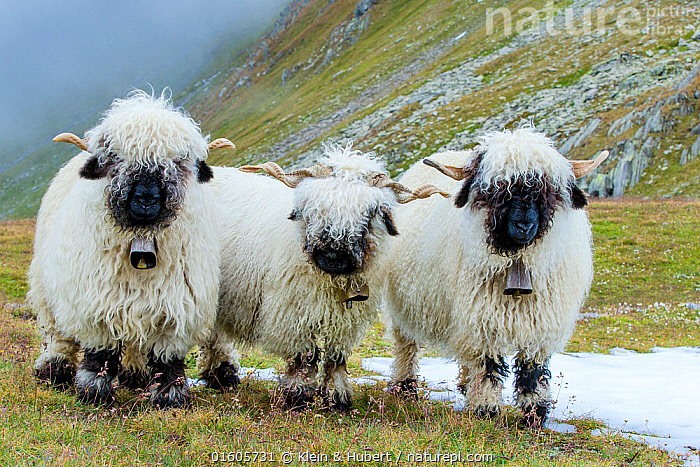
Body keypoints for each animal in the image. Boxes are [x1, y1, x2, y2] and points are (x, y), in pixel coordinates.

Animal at [29, 90, 235, 408]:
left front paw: (170, 398)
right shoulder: (97, 304)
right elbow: (99, 355)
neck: (141, 238)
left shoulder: (176, 306)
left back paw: (134, 374)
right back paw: (54, 370)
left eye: (179, 162)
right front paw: (94, 393)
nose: (146, 200)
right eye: (115, 158)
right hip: (46, 286)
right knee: (56, 334)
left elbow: (167, 359)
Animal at [196, 145, 447, 411]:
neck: (331, 281)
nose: (333, 256)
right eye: (313, 208)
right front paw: (298, 395)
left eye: (369, 214)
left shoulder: (345, 320)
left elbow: (336, 357)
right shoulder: (293, 314)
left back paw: (221, 375)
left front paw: (337, 397)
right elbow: (305, 356)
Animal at [383, 127, 608, 425]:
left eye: (546, 190)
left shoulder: (541, 321)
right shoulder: (483, 319)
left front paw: (533, 414)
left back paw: (465, 384)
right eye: (495, 190)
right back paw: (405, 386)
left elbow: (533, 368)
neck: (517, 261)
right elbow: (488, 364)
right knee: (406, 345)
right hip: (405, 307)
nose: (523, 225)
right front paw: (485, 409)